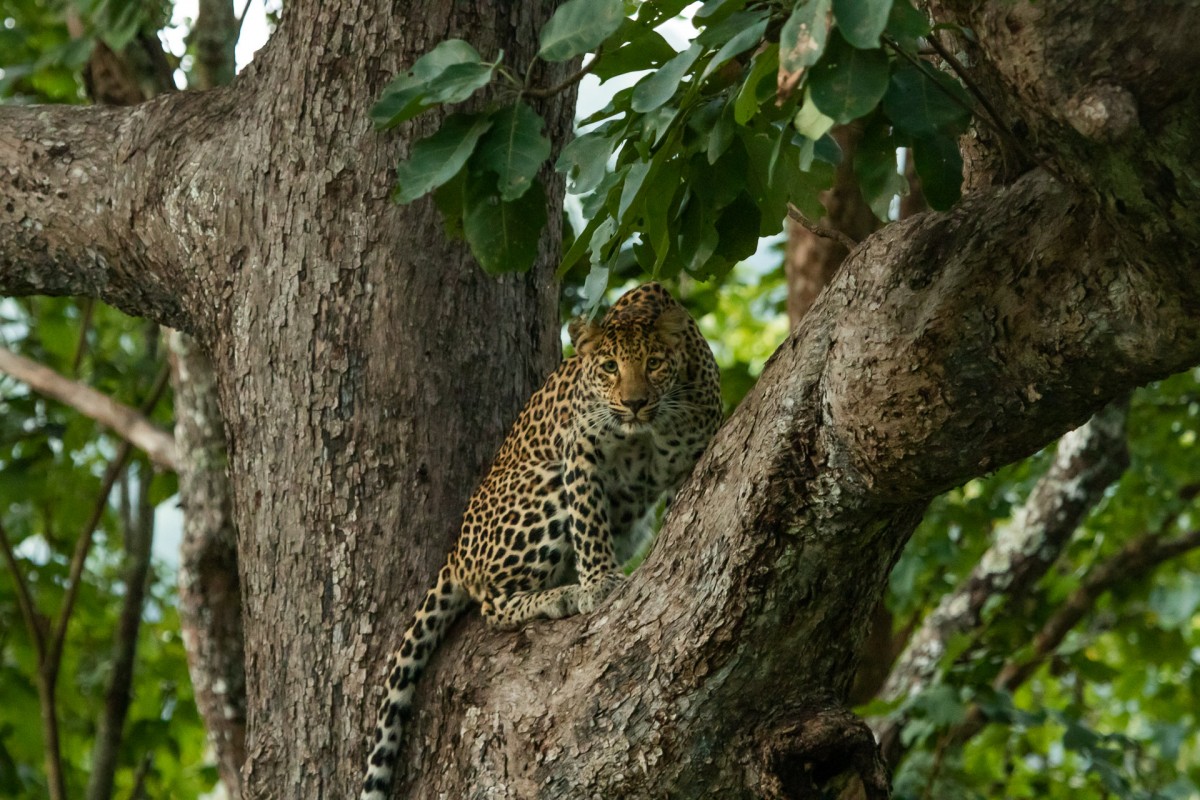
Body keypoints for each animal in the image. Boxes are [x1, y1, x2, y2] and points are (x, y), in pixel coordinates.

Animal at [359, 282, 722, 799]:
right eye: (609, 367)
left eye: (654, 363)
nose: (633, 403)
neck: (648, 430)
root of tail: (455, 553)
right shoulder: (579, 449)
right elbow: (589, 522)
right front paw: (598, 584)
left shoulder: (690, 456)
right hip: (544, 485)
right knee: (492, 603)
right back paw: (560, 595)